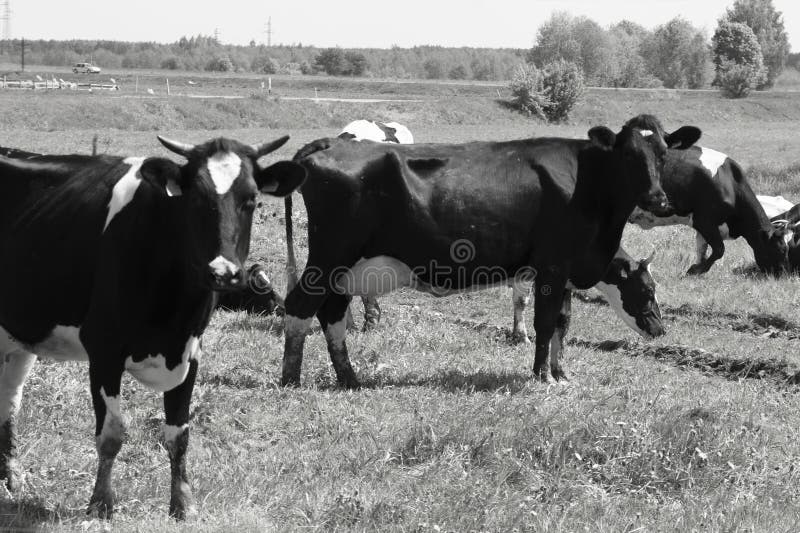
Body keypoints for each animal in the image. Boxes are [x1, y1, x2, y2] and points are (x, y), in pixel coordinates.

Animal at [0, 136, 305, 519]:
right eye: (195, 198)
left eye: (251, 199)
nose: (223, 273)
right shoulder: (104, 350)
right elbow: (111, 434)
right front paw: (100, 503)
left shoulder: (191, 352)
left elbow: (179, 434)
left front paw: (183, 503)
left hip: (20, 337)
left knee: (9, 402)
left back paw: (12, 481)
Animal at [281, 115, 700, 388]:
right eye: (628, 154)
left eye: (664, 154)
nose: (657, 198)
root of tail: (330, 143)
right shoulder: (552, 266)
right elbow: (544, 322)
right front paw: (542, 377)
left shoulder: (564, 271)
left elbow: (563, 322)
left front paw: (561, 373)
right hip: (328, 258)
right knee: (300, 306)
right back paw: (290, 379)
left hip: (343, 268)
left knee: (332, 313)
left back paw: (349, 378)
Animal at [625, 116, 788, 276]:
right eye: (780, 250)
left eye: (786, 249)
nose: (784, 274)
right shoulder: (704, 220)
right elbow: (719, 249)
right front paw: (695, 270)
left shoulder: (704, 226)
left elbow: (701, 250)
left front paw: (698, 270)